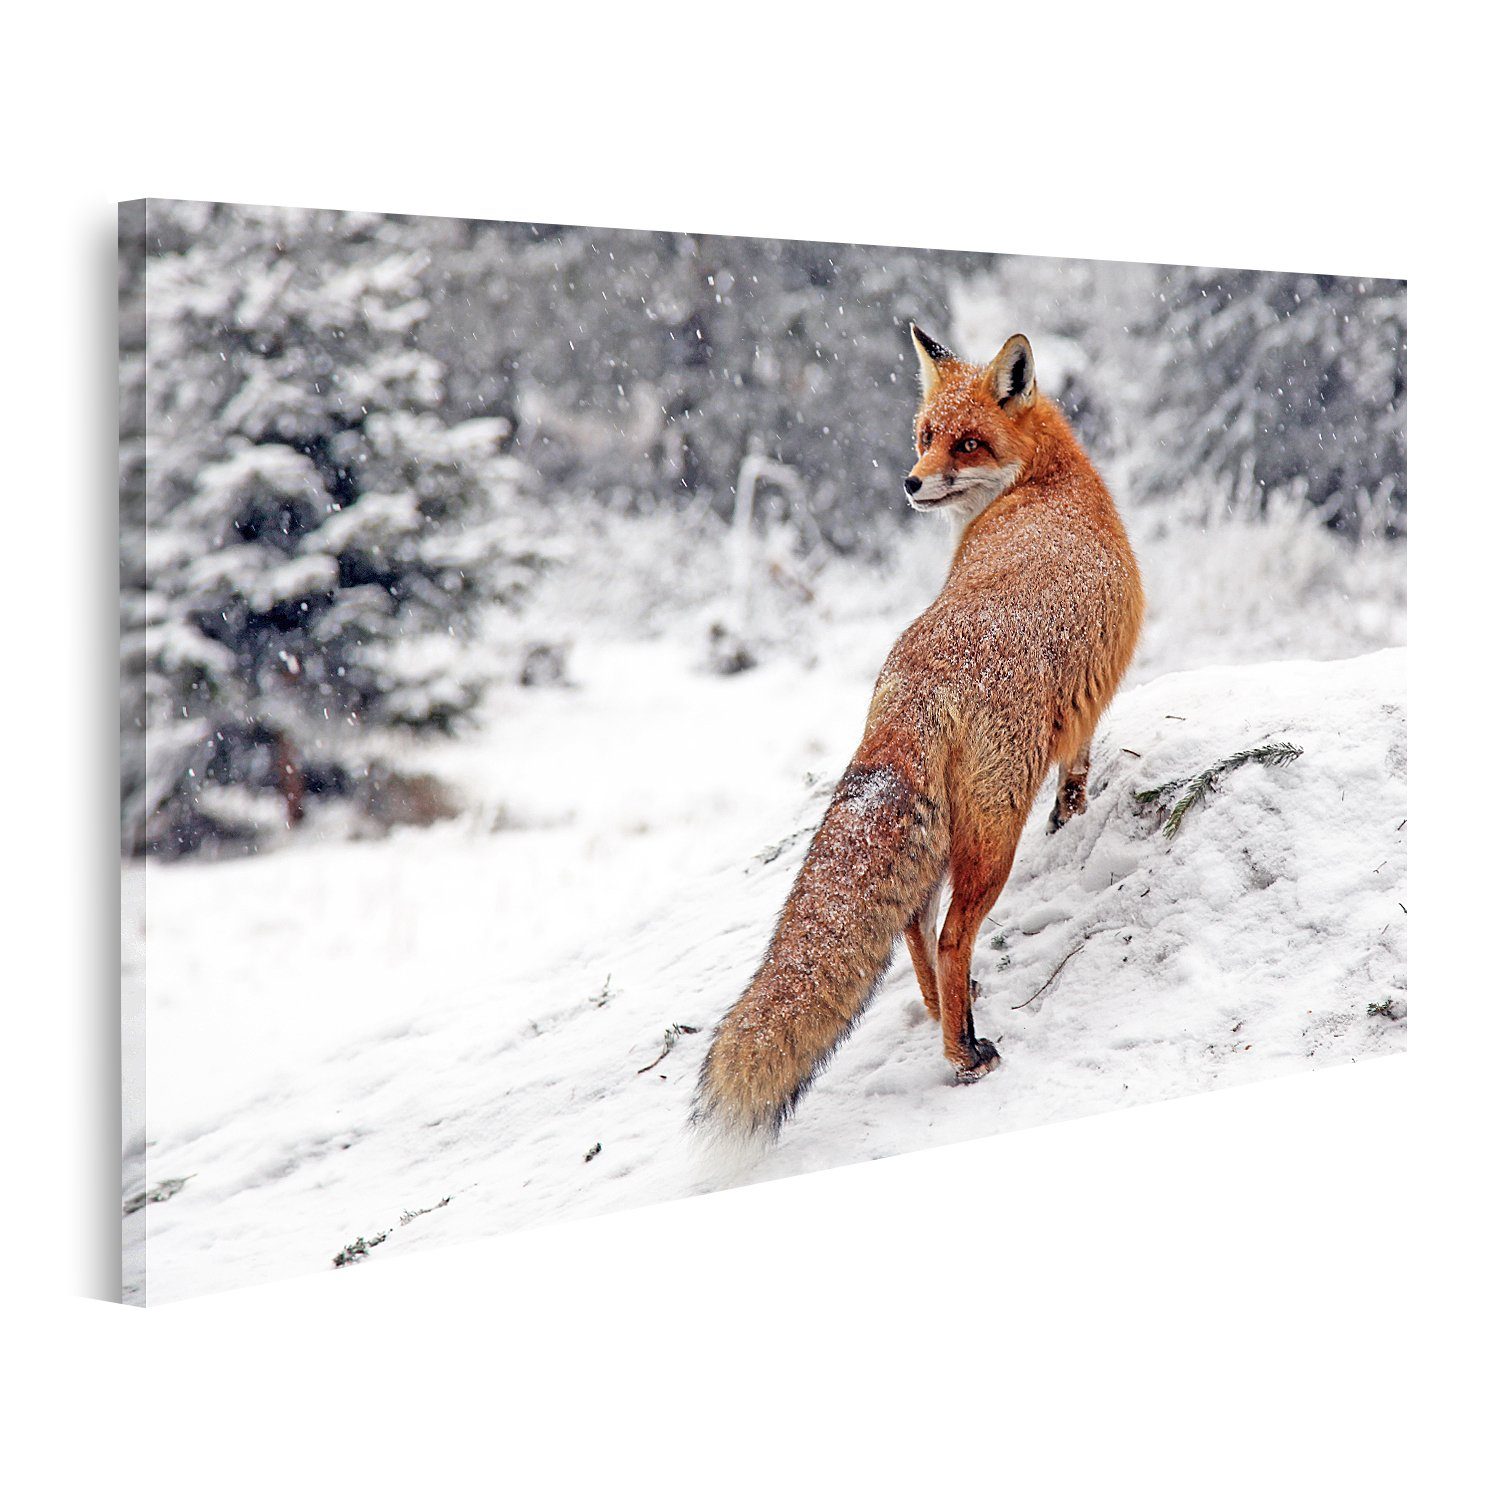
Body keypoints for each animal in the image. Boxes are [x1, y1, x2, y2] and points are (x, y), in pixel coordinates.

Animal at [692, 325, 1145, 1147]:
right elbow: (1079, 770)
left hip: (941, 837)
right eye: (927, 436)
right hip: (993, 833)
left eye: (964, 442)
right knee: (951, 934)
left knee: (912, 930)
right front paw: (1073, 815)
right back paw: (966, 1052)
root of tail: (916, 681)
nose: (909, 482)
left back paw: (944, 1018)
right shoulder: (1088, 707)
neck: (1045, 486)